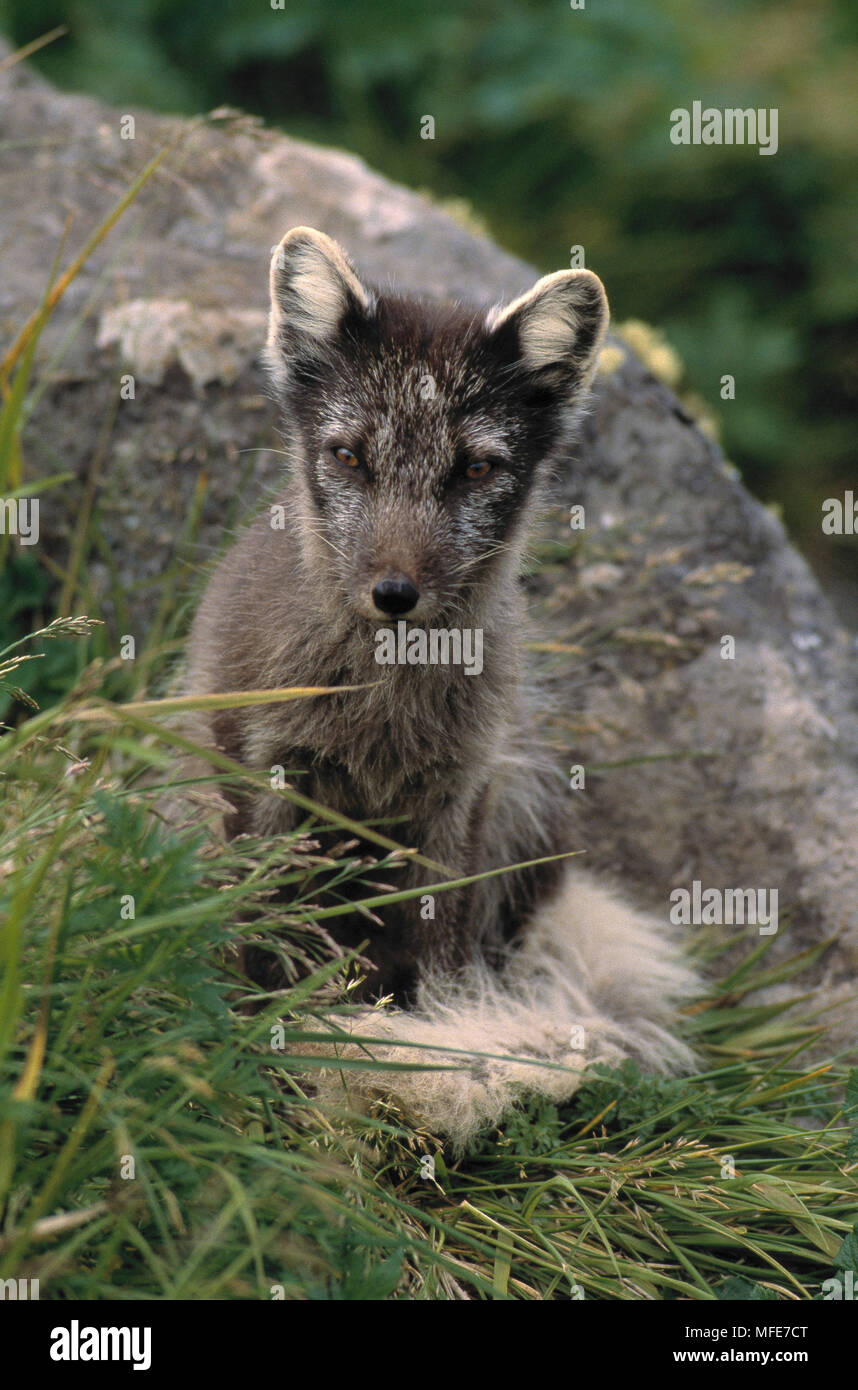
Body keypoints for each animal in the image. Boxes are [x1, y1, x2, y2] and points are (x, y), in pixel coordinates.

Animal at [183, 226, 698, 1147]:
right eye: (348, 456)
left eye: (476, 470)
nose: (395, 593)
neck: (380, 709)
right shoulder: (263, 770)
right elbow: (265, 925)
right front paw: (261, 1036)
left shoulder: (461, 796)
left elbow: (442, 960)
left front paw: (433, 1042)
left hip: (521, 798)